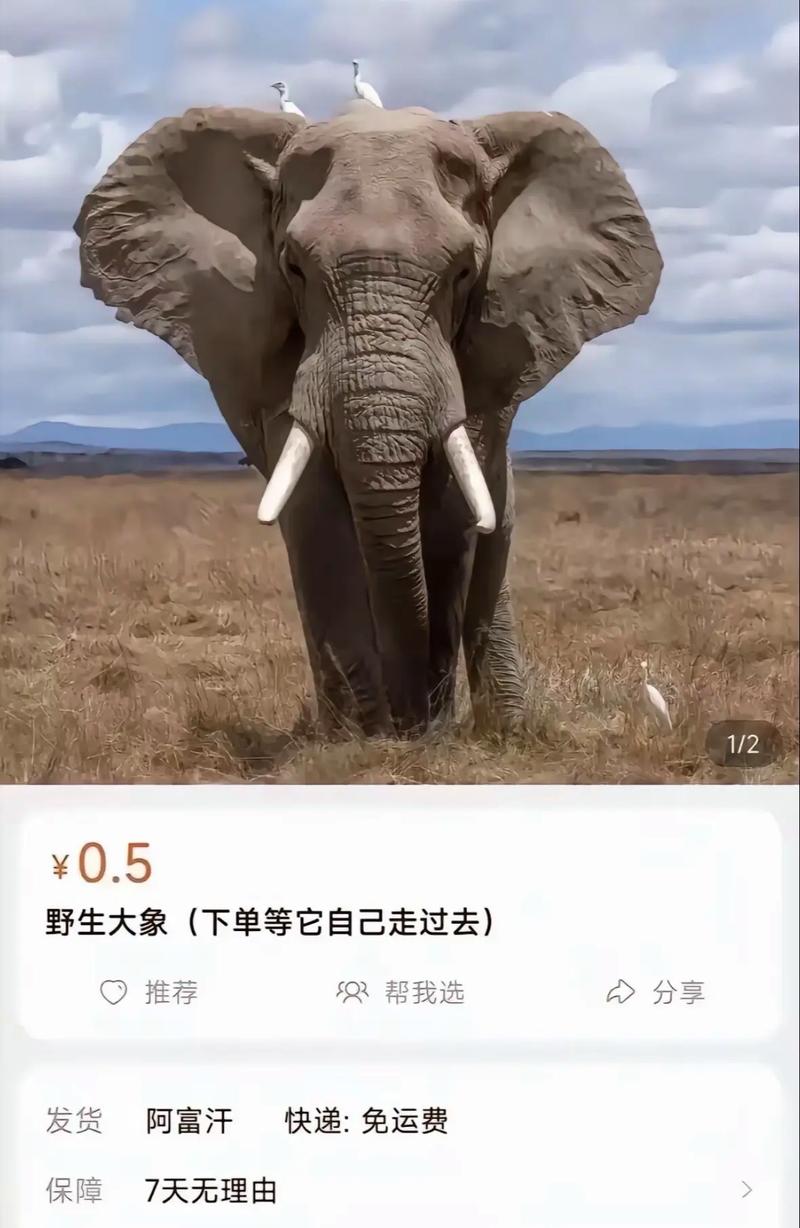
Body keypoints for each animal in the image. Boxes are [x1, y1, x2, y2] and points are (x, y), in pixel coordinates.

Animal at [74, 101, 662, 737]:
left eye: (464, 272)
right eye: (294, 269)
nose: (411, 722)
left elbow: (453, 513)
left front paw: (425, 732)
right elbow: (313, 512)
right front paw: (360, 739)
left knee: (493, 536)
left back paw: (506, 728)